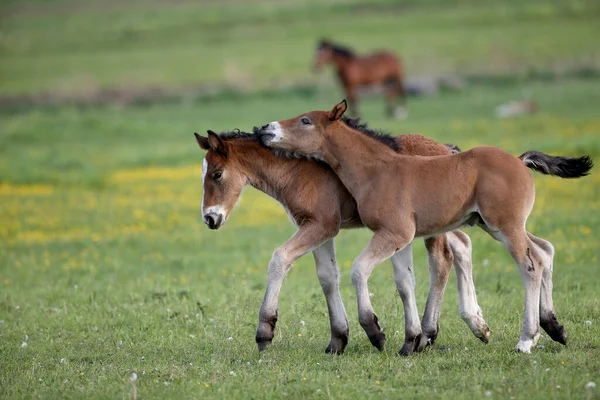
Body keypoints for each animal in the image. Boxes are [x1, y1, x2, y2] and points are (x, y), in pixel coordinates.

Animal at [195, 120, 490, 354]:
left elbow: (279, 258)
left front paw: (265, 332)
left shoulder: (321, 225)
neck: (296, 170)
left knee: (441, 260)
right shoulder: (318, 229)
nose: (210, 218)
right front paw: (338, 339)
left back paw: (429, 333)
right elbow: (327, 277)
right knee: (463, 245)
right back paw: (476, 324)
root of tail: (445, 148)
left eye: (217, 174)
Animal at [256, 99, 592, 354]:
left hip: (505, 226)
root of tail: (520, 161)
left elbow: (359, 269)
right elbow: (404, 282)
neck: (377, 170)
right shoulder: (400, 238)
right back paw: (554, 328)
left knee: (530, 265)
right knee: (544, 250)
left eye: (305, 121)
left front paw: (376, 331)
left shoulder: (394, 232)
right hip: (494, 225)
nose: (265, 129)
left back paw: (526, 340)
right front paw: (410, 341)